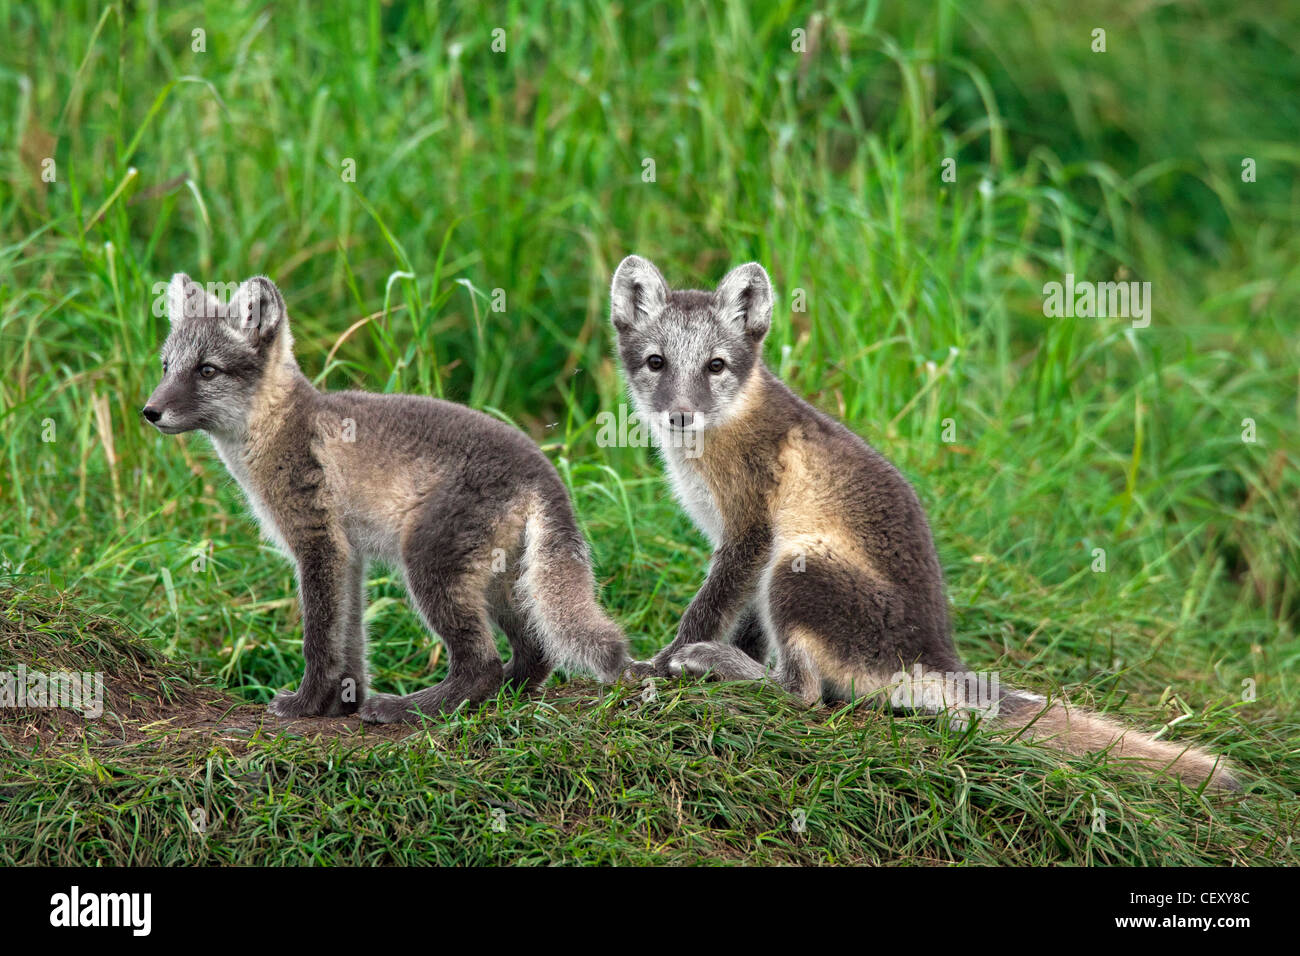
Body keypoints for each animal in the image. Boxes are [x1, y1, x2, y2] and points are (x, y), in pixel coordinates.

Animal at [144, 273, 629, 722]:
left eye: (207, 369)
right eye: (166, 366)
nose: (149, 412)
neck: (277, 425)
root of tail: (544, 471)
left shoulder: (318, 544)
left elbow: (319, 637)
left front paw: (304, 704)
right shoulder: (349, 556)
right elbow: (351, 640)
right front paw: (341, 702)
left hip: (430, 565)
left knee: (482, 665)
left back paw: (407, 708)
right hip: (504, 581)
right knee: (535, 653)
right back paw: (500, 697)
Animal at [610, 254, 1238, 790]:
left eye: (716, 365)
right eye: (656, 362)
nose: (680, 414)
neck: (718, 434)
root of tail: (937, 656)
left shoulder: (753, 536)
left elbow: (709, 609)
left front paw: (661, 662)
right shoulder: (746, 553)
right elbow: (744, 622)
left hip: (800, 563)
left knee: (803, 694)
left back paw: (716, 666)